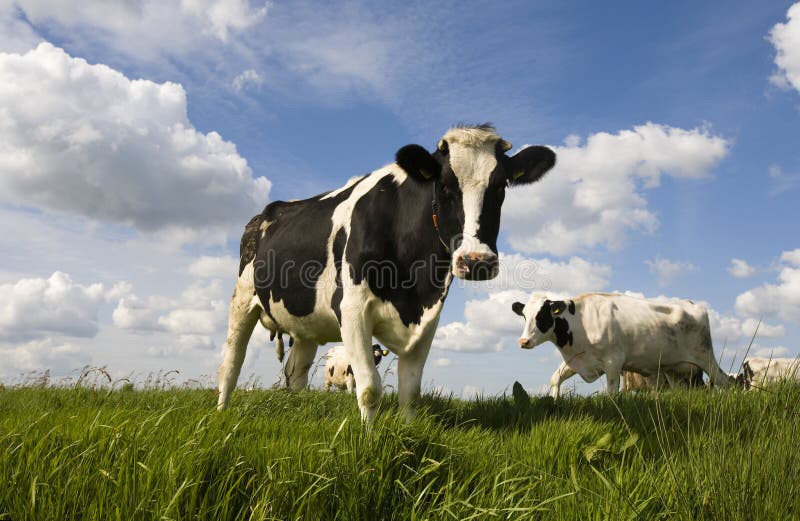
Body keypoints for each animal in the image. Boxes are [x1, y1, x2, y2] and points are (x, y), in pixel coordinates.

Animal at [217, 124, 556, 424]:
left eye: (501, 186)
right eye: (445, 185)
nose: (476, 262)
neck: (414, 285)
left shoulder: (428, 319)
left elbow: (411, 391)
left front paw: (407, 433)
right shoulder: (352, 310)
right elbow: (369, 389)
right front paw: (367, 442)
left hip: (306, 326)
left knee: (295, 375)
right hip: (242, 299)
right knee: (230, 363)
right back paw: (221, 413)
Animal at [511, 292, 733, 399]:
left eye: (542, 316)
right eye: (524, 316)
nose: (523, 341)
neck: (581, 321)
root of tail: (692, 303)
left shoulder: (614, 361)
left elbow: (611, 392)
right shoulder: (579, 359)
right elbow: (555, 378)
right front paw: (555, 400)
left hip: (705, 357)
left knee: (726, 383)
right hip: (674, 370)